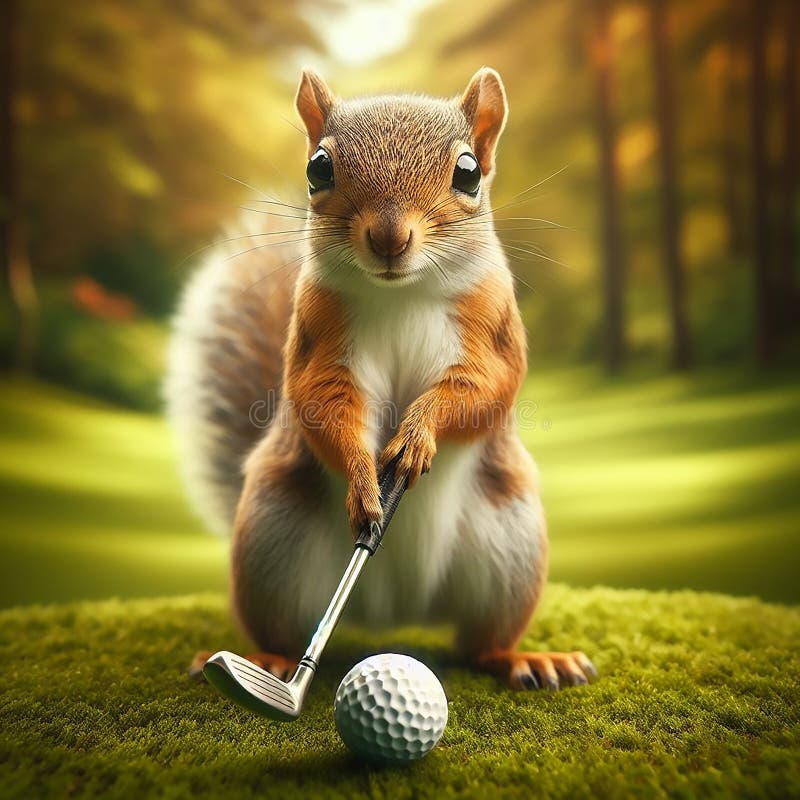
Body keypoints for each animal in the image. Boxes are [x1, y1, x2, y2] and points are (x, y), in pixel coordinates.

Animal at [167, 67, 596, 691]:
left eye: (469, 173)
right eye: (318, 168)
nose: (390, 237)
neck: (401, 293)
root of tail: (391, 612)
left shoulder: (491, 327)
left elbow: (484, 387)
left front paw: (416, 437)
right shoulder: (320, 334)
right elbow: (322, 399)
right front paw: (365, 480)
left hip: (510, 548)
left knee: (481, 643)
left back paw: (526, 660)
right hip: (271, 544)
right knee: (284, 628)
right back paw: (268, 661)